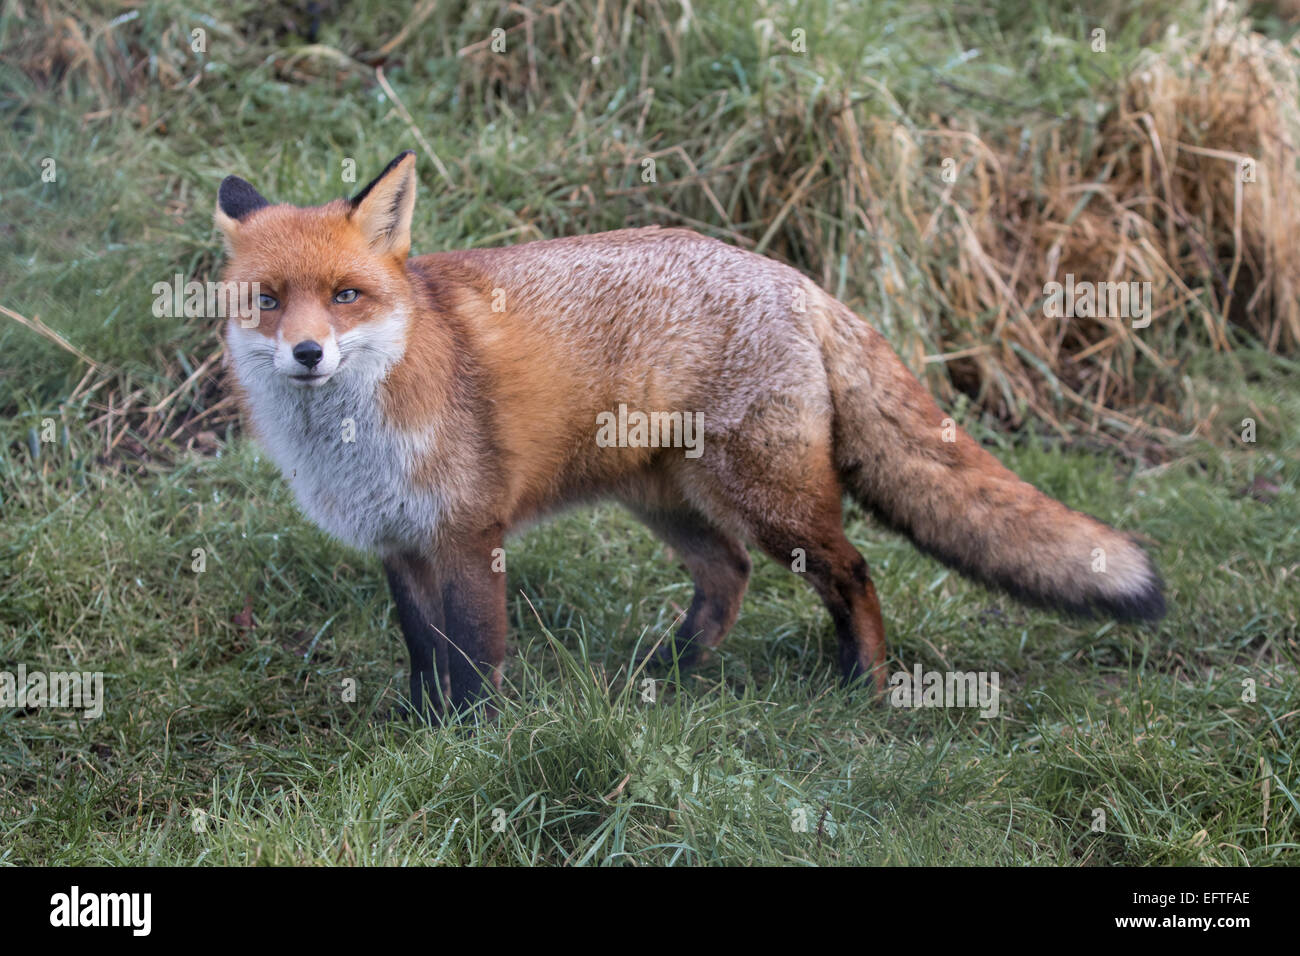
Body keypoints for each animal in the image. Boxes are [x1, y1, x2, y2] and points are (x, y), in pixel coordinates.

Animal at [216, 150, 1165, 719]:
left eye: (346, 296)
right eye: (268, 300)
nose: (307, 353)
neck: (351, 438)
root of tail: (793, 277)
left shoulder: (468, 533)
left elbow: (476, 658)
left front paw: (472, 743)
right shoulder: (399, 542)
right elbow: (424, 653)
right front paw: (420, 732)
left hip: (770, 500)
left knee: (854, 570)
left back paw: (862, 685)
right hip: (672, 502)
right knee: (728, 575)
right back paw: (670, 671)